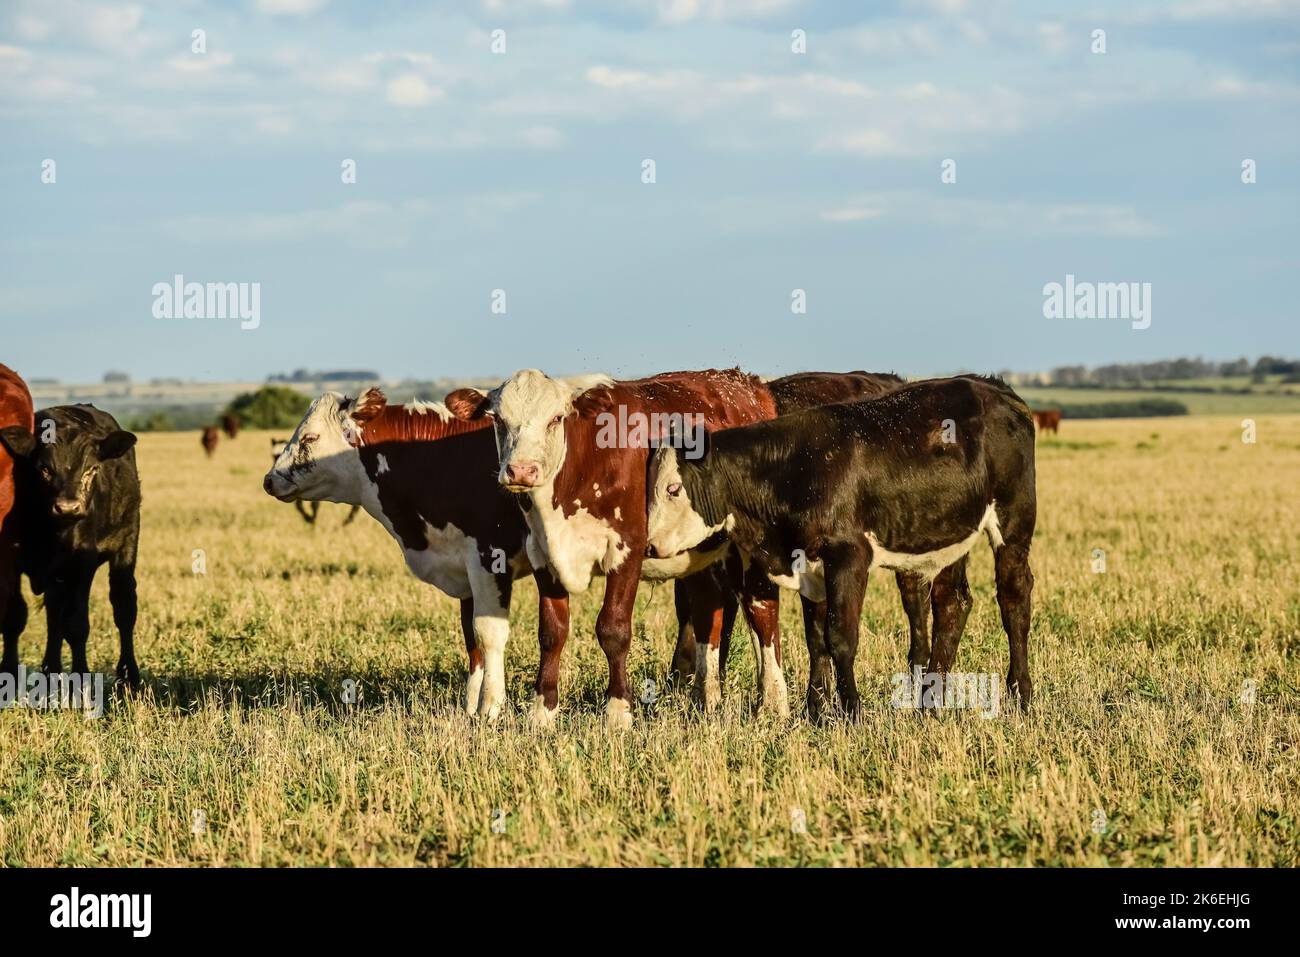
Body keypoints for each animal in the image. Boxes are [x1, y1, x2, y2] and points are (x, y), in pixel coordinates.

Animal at [0, 405, 142, 686]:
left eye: (91, 469)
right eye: (44, 469)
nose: (67, 507)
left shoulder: (82, 563)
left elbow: (76, 625)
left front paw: (82, 680)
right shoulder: (9, 556)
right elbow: (14, 615)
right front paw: (7, 673)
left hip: (127, 544)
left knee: (124, 606)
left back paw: (129, 675)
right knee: (54, 614)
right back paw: (50, 670)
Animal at [450, 368, 933, 725]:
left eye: (555, 419)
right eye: (498, 420)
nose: (521, 470)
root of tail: (747, 384)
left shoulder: (627, 548)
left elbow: (613, 630)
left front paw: (617, 713)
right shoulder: (546, 556)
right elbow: (552, 633)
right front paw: (542, 713)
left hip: (748, 554)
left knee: (763, 615)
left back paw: (772, 702)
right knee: (709, 615)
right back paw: (706, 697)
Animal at [645, 375, 1037, 720]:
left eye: (674, 489)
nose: (648, 545)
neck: (794, 468)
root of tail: (994, 388)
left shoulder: (849, 557)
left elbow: (841, 638)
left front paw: (852, 711)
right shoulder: (810, 567)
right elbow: (817, 640)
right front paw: (816, 711)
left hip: (1013, 524)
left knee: (1014, 600)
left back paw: (1021, 695)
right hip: (947, 537)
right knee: (953, 605)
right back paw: (929, 702)